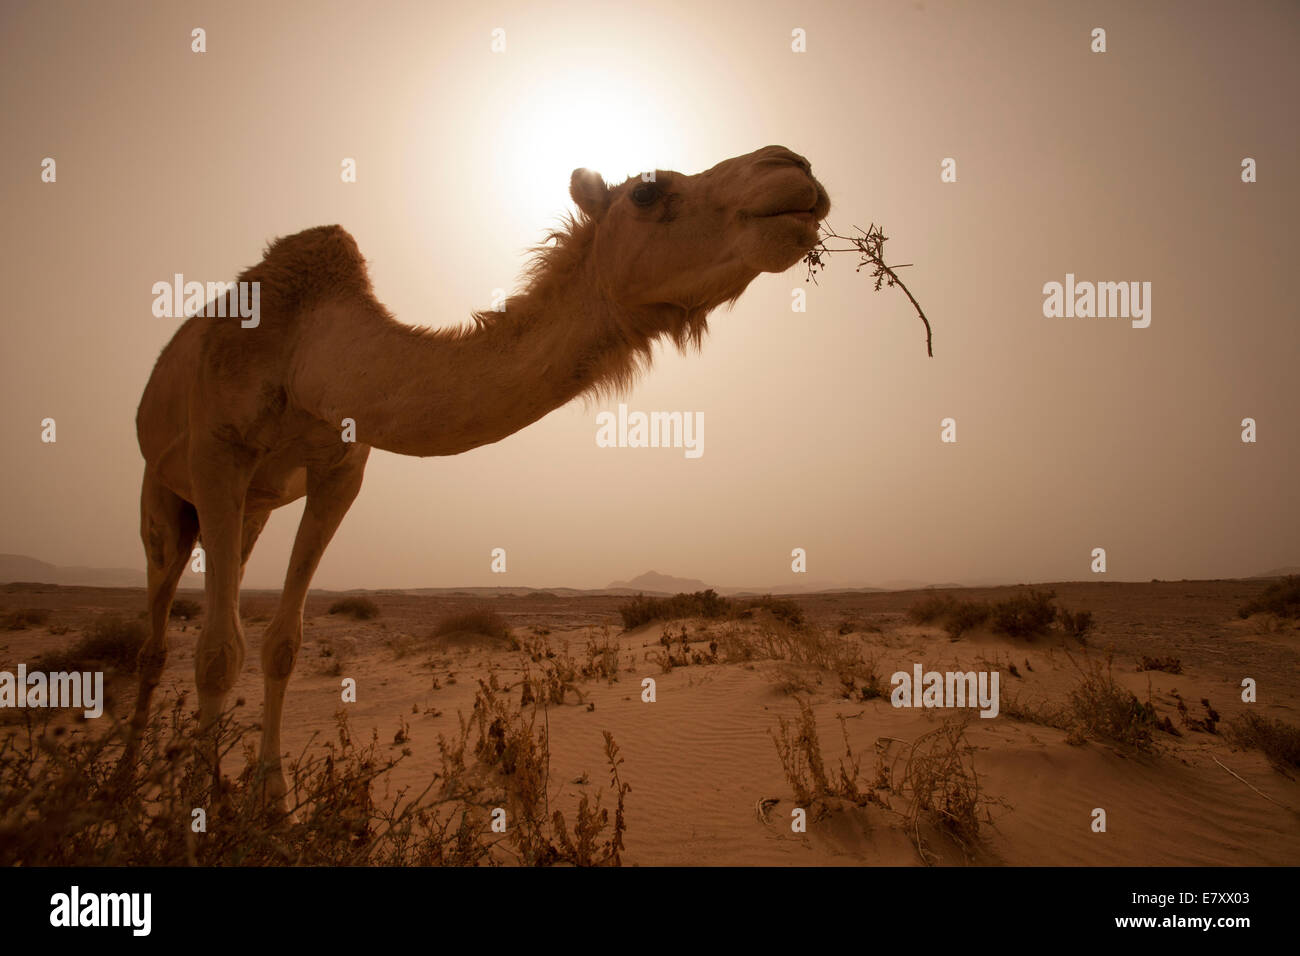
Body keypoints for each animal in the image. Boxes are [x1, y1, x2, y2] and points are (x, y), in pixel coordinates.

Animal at [133, 145, 831, 810]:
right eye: (646, 191)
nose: (792, 166)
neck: (308, 353)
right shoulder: (219, 451)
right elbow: (217, 654)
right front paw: (198, 818)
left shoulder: (340, 472)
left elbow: (281, 643)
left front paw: (271, 804)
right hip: (164, 493)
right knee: (158, 626)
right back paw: (128, 785)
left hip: (252, 509)